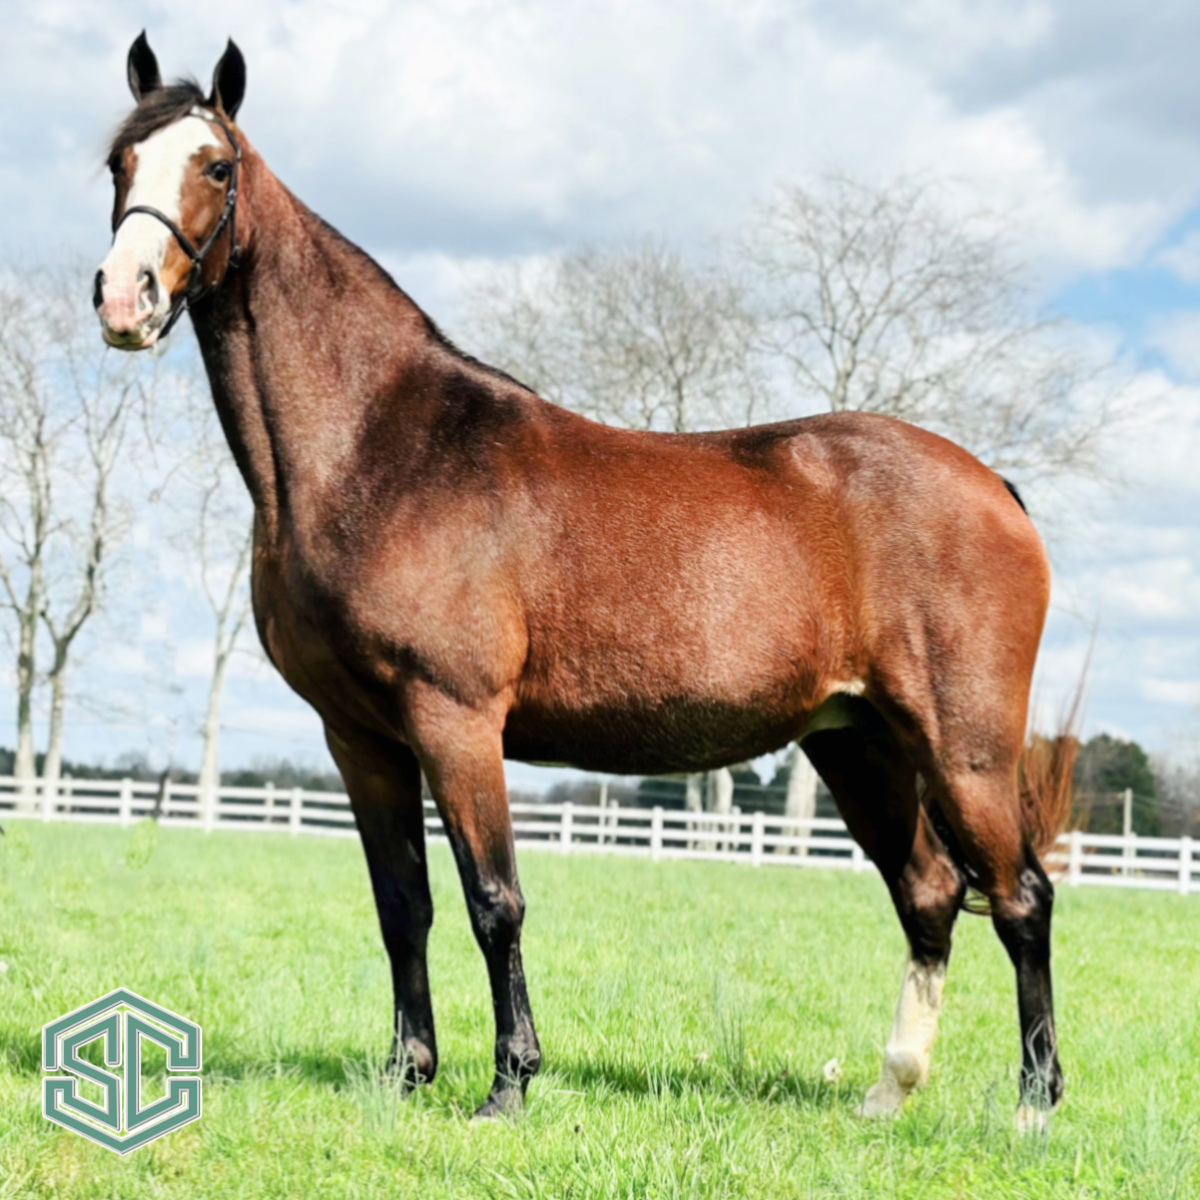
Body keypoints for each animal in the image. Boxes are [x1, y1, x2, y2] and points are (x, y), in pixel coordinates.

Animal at [94, 34, 1073, 1129]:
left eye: (217, 166)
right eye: (118, 164)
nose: (125, 296)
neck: (376, 449)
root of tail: (993, 486)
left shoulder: (455, 719)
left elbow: (493, 901)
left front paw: (508, 1084)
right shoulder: (359, 736)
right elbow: (402, 906)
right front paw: (406, 1074)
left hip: (963, 749)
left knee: (1021, 898)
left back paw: (1033, 1106)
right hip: (859, 743)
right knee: (931, 892)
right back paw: (889, 1091)